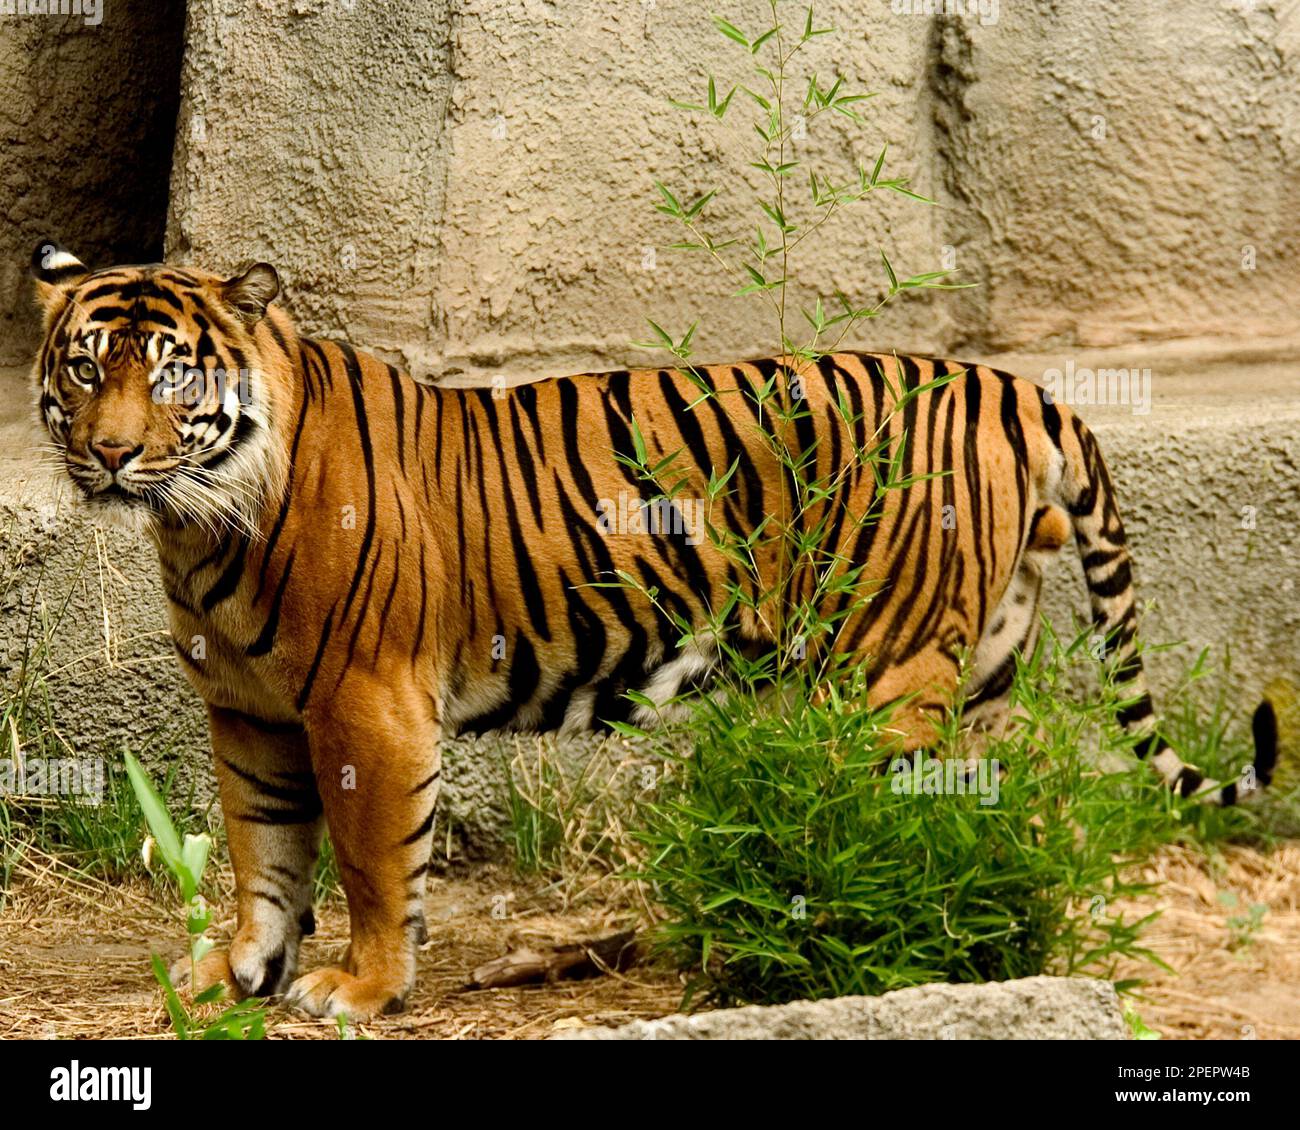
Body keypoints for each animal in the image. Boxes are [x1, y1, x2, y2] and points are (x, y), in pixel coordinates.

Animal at [29, 243, 1277, 1020]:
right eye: (84, 369)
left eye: (170, 377)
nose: (111, 453)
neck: (200, 522)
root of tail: (1019, 387)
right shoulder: (246, 707)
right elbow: (262, 850)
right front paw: (239, 967)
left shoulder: (362, 700)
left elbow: (374, 860)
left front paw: (361, 987)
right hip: (980, 669)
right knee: (997, 812)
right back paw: (971, 943)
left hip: (891, 666)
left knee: (900, 812)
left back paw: (870, 956)